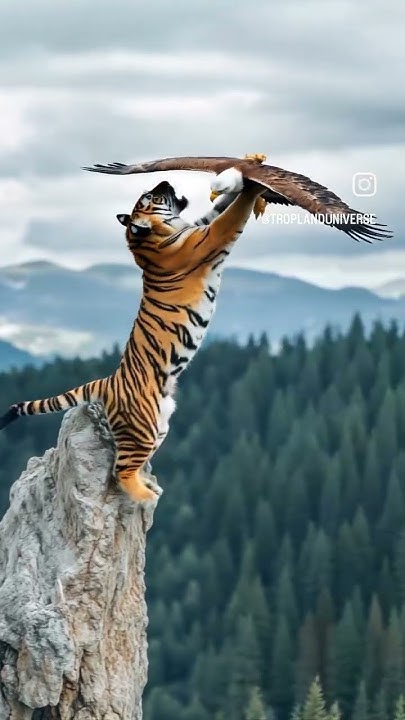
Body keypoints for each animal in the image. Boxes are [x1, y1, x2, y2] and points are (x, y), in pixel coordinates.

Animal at [0, 162, 267, 504]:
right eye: (150, 196)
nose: (164, 180)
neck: (149, 239)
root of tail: (106, 382)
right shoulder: (207, 239)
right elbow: (233, 215)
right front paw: (250, 186)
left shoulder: (197, 226)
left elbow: (218, 208)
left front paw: (234, 184)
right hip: (143, 429)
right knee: (121, 471)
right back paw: (147, 497)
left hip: (159, 427)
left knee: (133, 465)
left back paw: (151, 487)